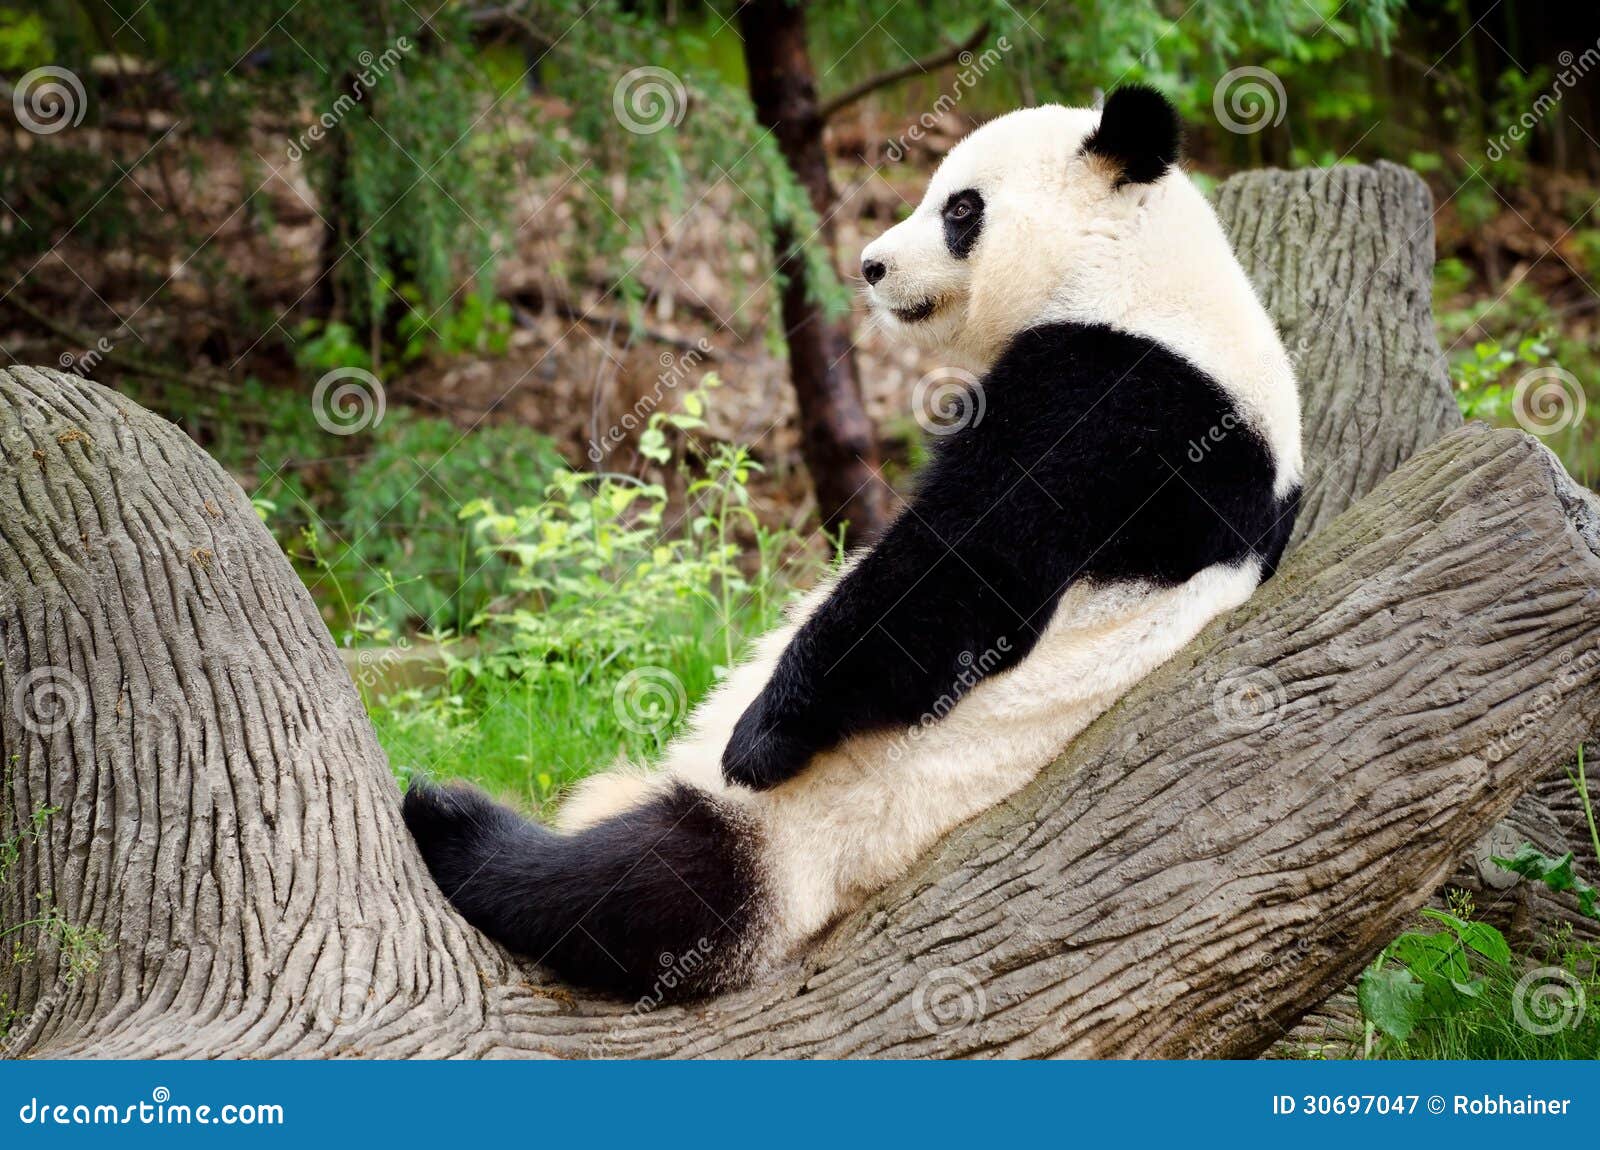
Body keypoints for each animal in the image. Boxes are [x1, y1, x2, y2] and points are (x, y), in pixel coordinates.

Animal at [402, 86, 1303, 1002]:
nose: (871, 266)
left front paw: (762, 735)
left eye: (961, 209)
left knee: (651, 885)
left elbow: (969, 573)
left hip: (823, 820)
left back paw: (456, 822)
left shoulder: (1124, 399)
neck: (1136, 269)